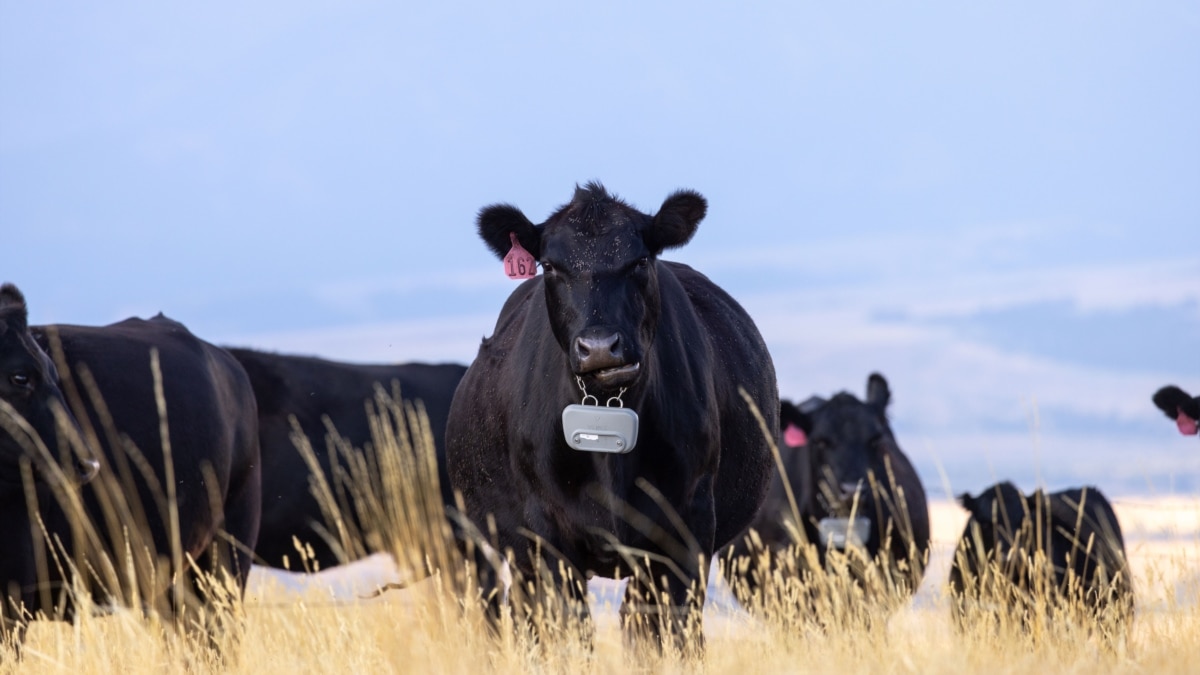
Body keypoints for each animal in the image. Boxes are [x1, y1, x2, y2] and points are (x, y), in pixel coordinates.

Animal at [445, 182, 777, 654]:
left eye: (639, 260)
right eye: (550, 266)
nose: (600, 347)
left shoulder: (687, 526)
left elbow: (673, 632)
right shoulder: (545, 534)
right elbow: (568, 633)